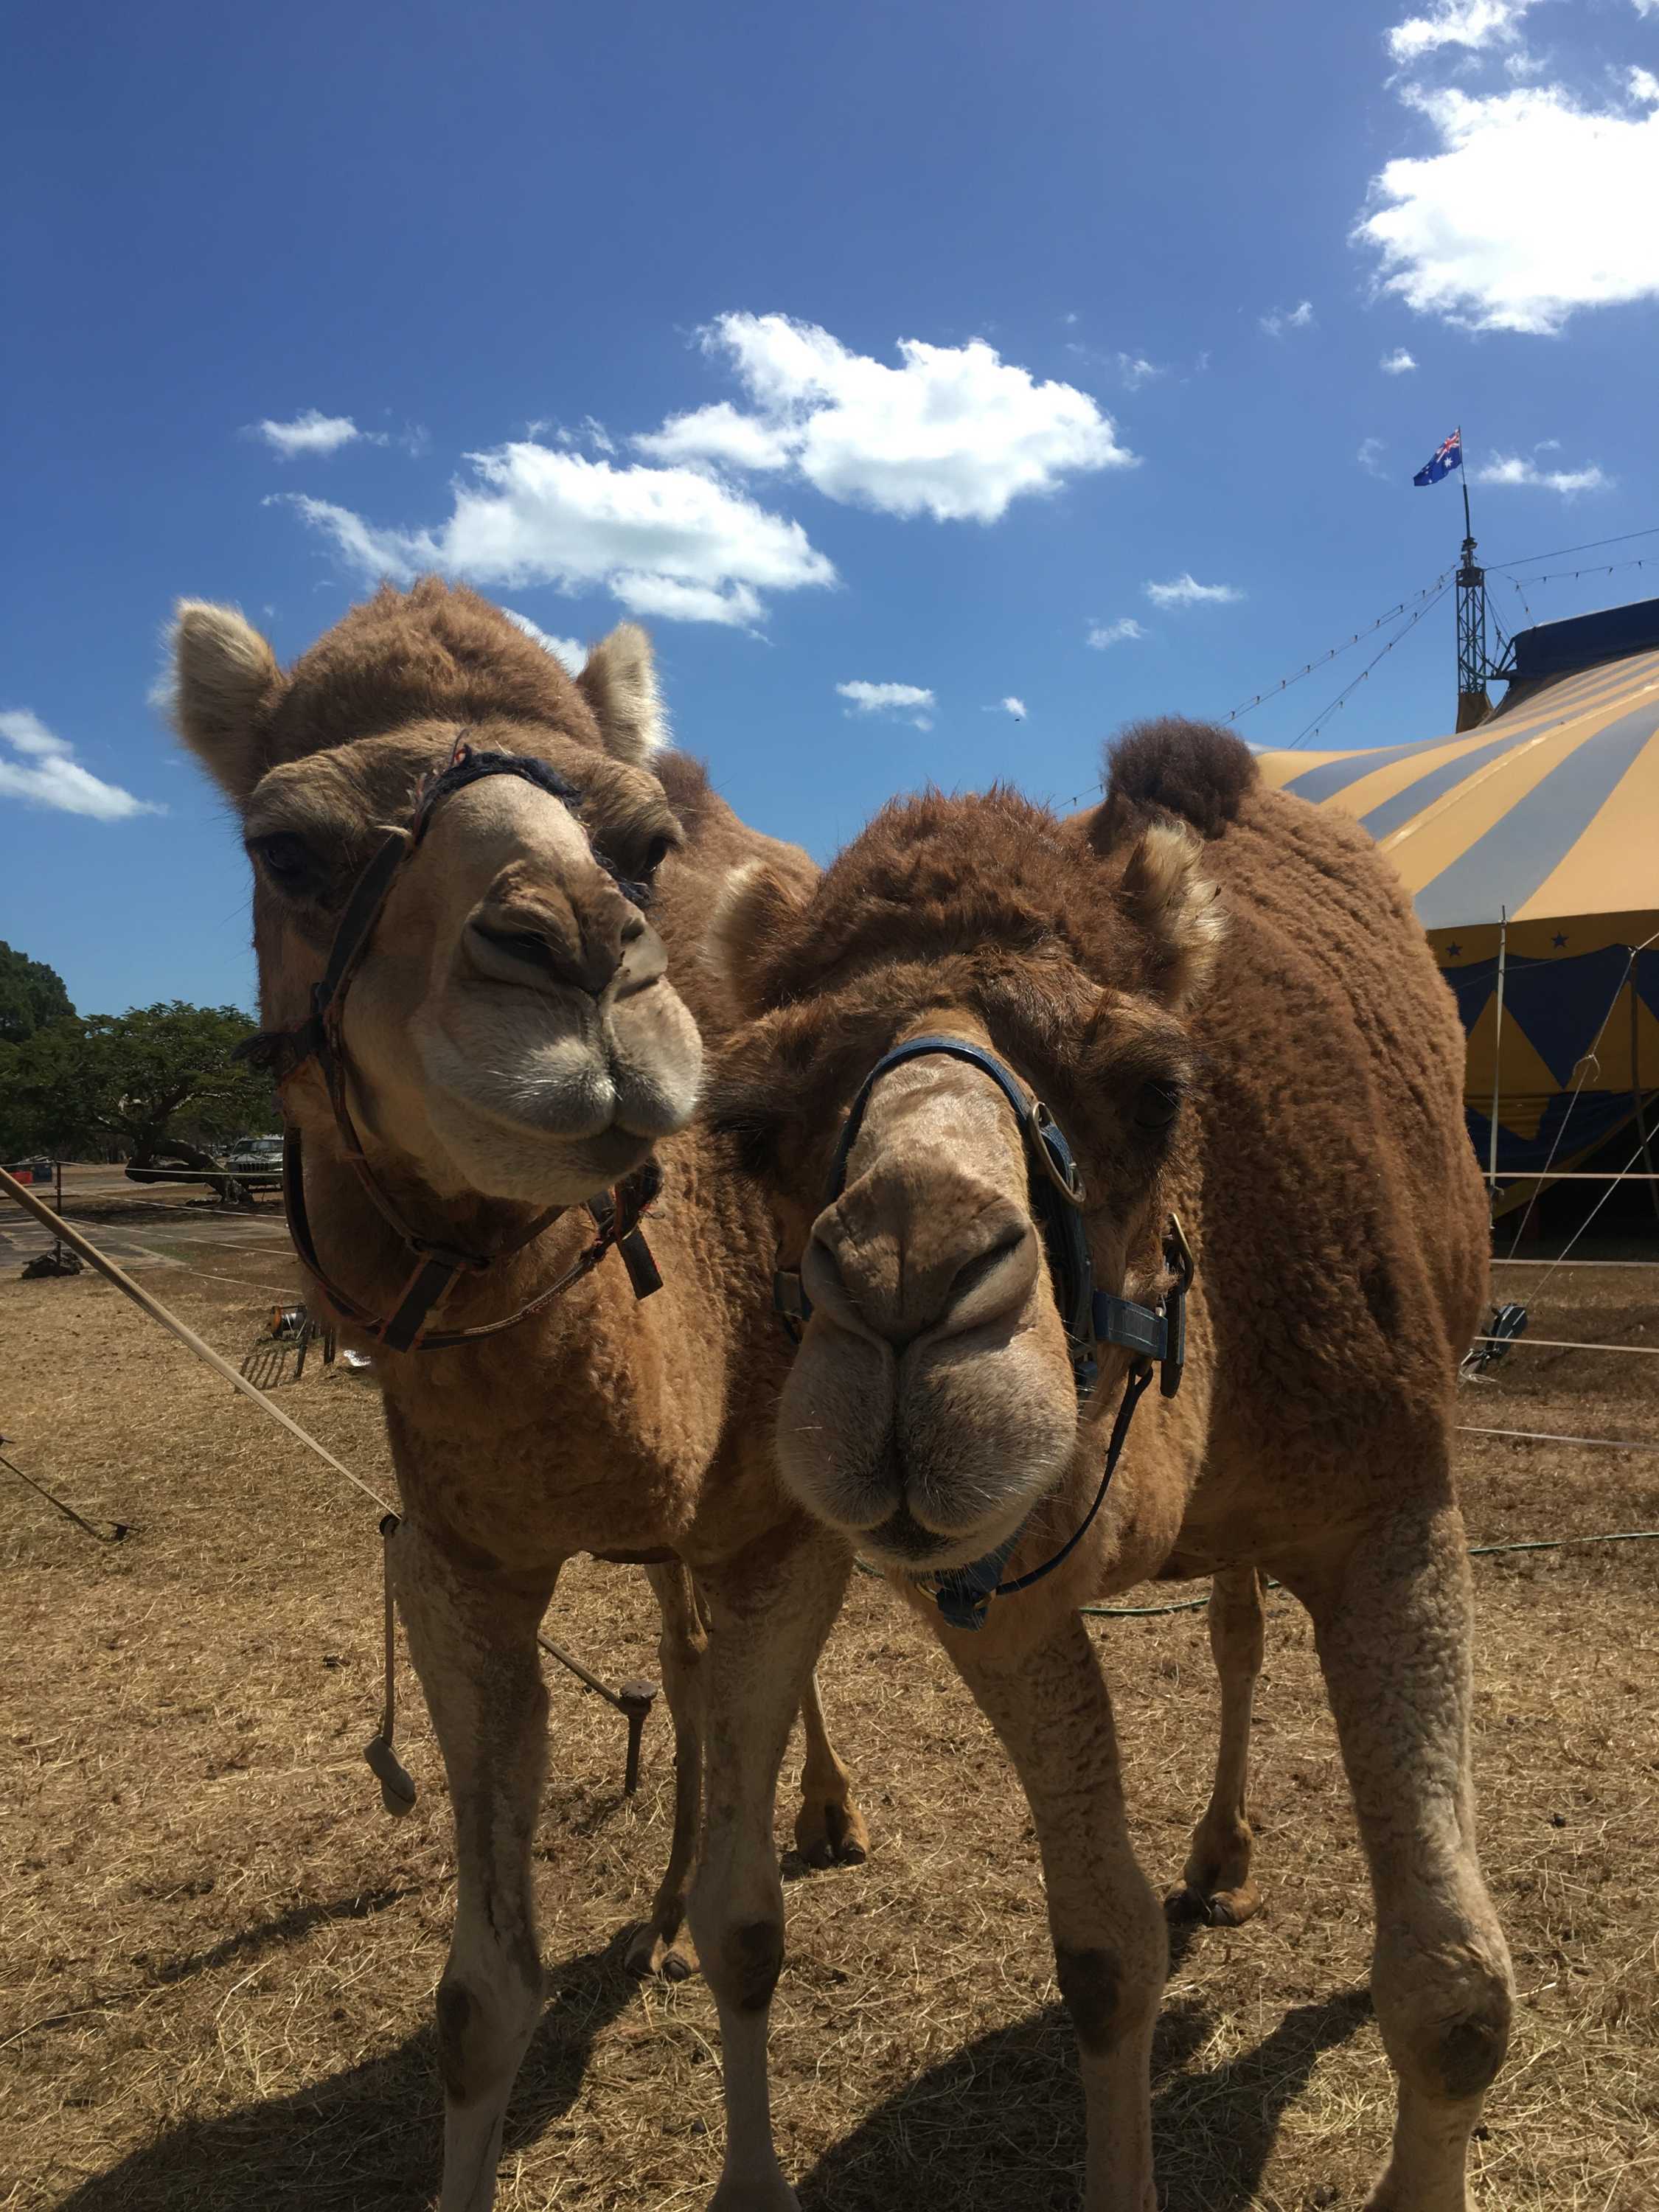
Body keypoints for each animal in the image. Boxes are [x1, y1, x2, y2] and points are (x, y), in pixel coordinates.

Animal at [169, 579, 868, 2211]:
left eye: (643, 845)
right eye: (286, 850)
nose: (580, 953)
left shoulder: (775, 1526)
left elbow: (755, 1930)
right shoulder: (462, 1567)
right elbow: (480, 1999)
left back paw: (822, 1813)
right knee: (681, 1662)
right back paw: (663, 1904)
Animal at [705, 719, 1512, 2212]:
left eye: (1154, 1089)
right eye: (746, 1123)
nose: (906, 1281)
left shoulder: (1392, 1499)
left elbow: (1454, 2001)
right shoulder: (987, 1585)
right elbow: (1099, 1956)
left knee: (1242, 1629)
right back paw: (1218, 1858)